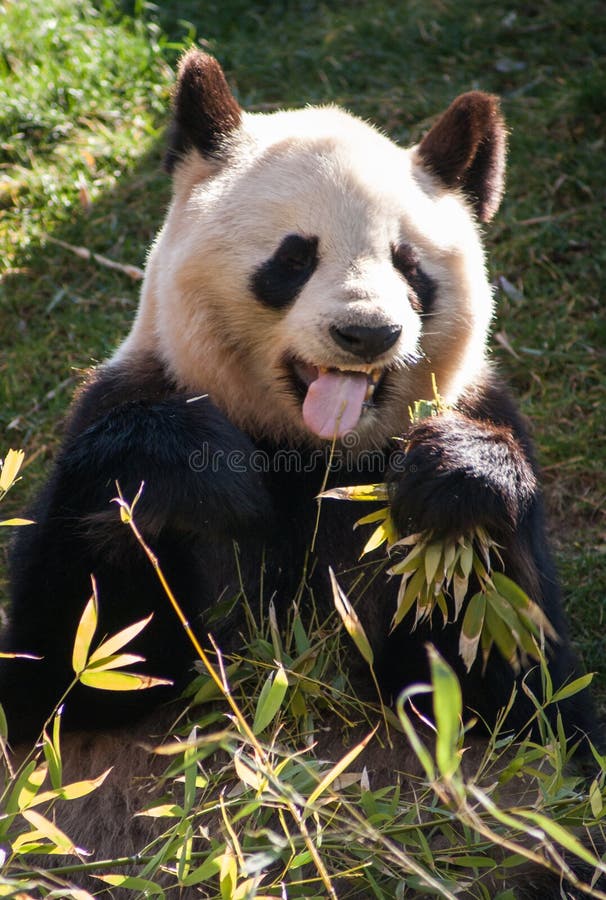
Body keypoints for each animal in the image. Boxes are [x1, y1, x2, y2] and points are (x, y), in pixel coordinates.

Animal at [0, 50, 597, 894]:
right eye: (293, 257)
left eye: (410, 267)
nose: (366, 332)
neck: (312, 452)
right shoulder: (120, 411)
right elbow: (71, 663)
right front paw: (213, 479)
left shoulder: (483, 427)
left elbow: (516, 687)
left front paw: (452, 475)